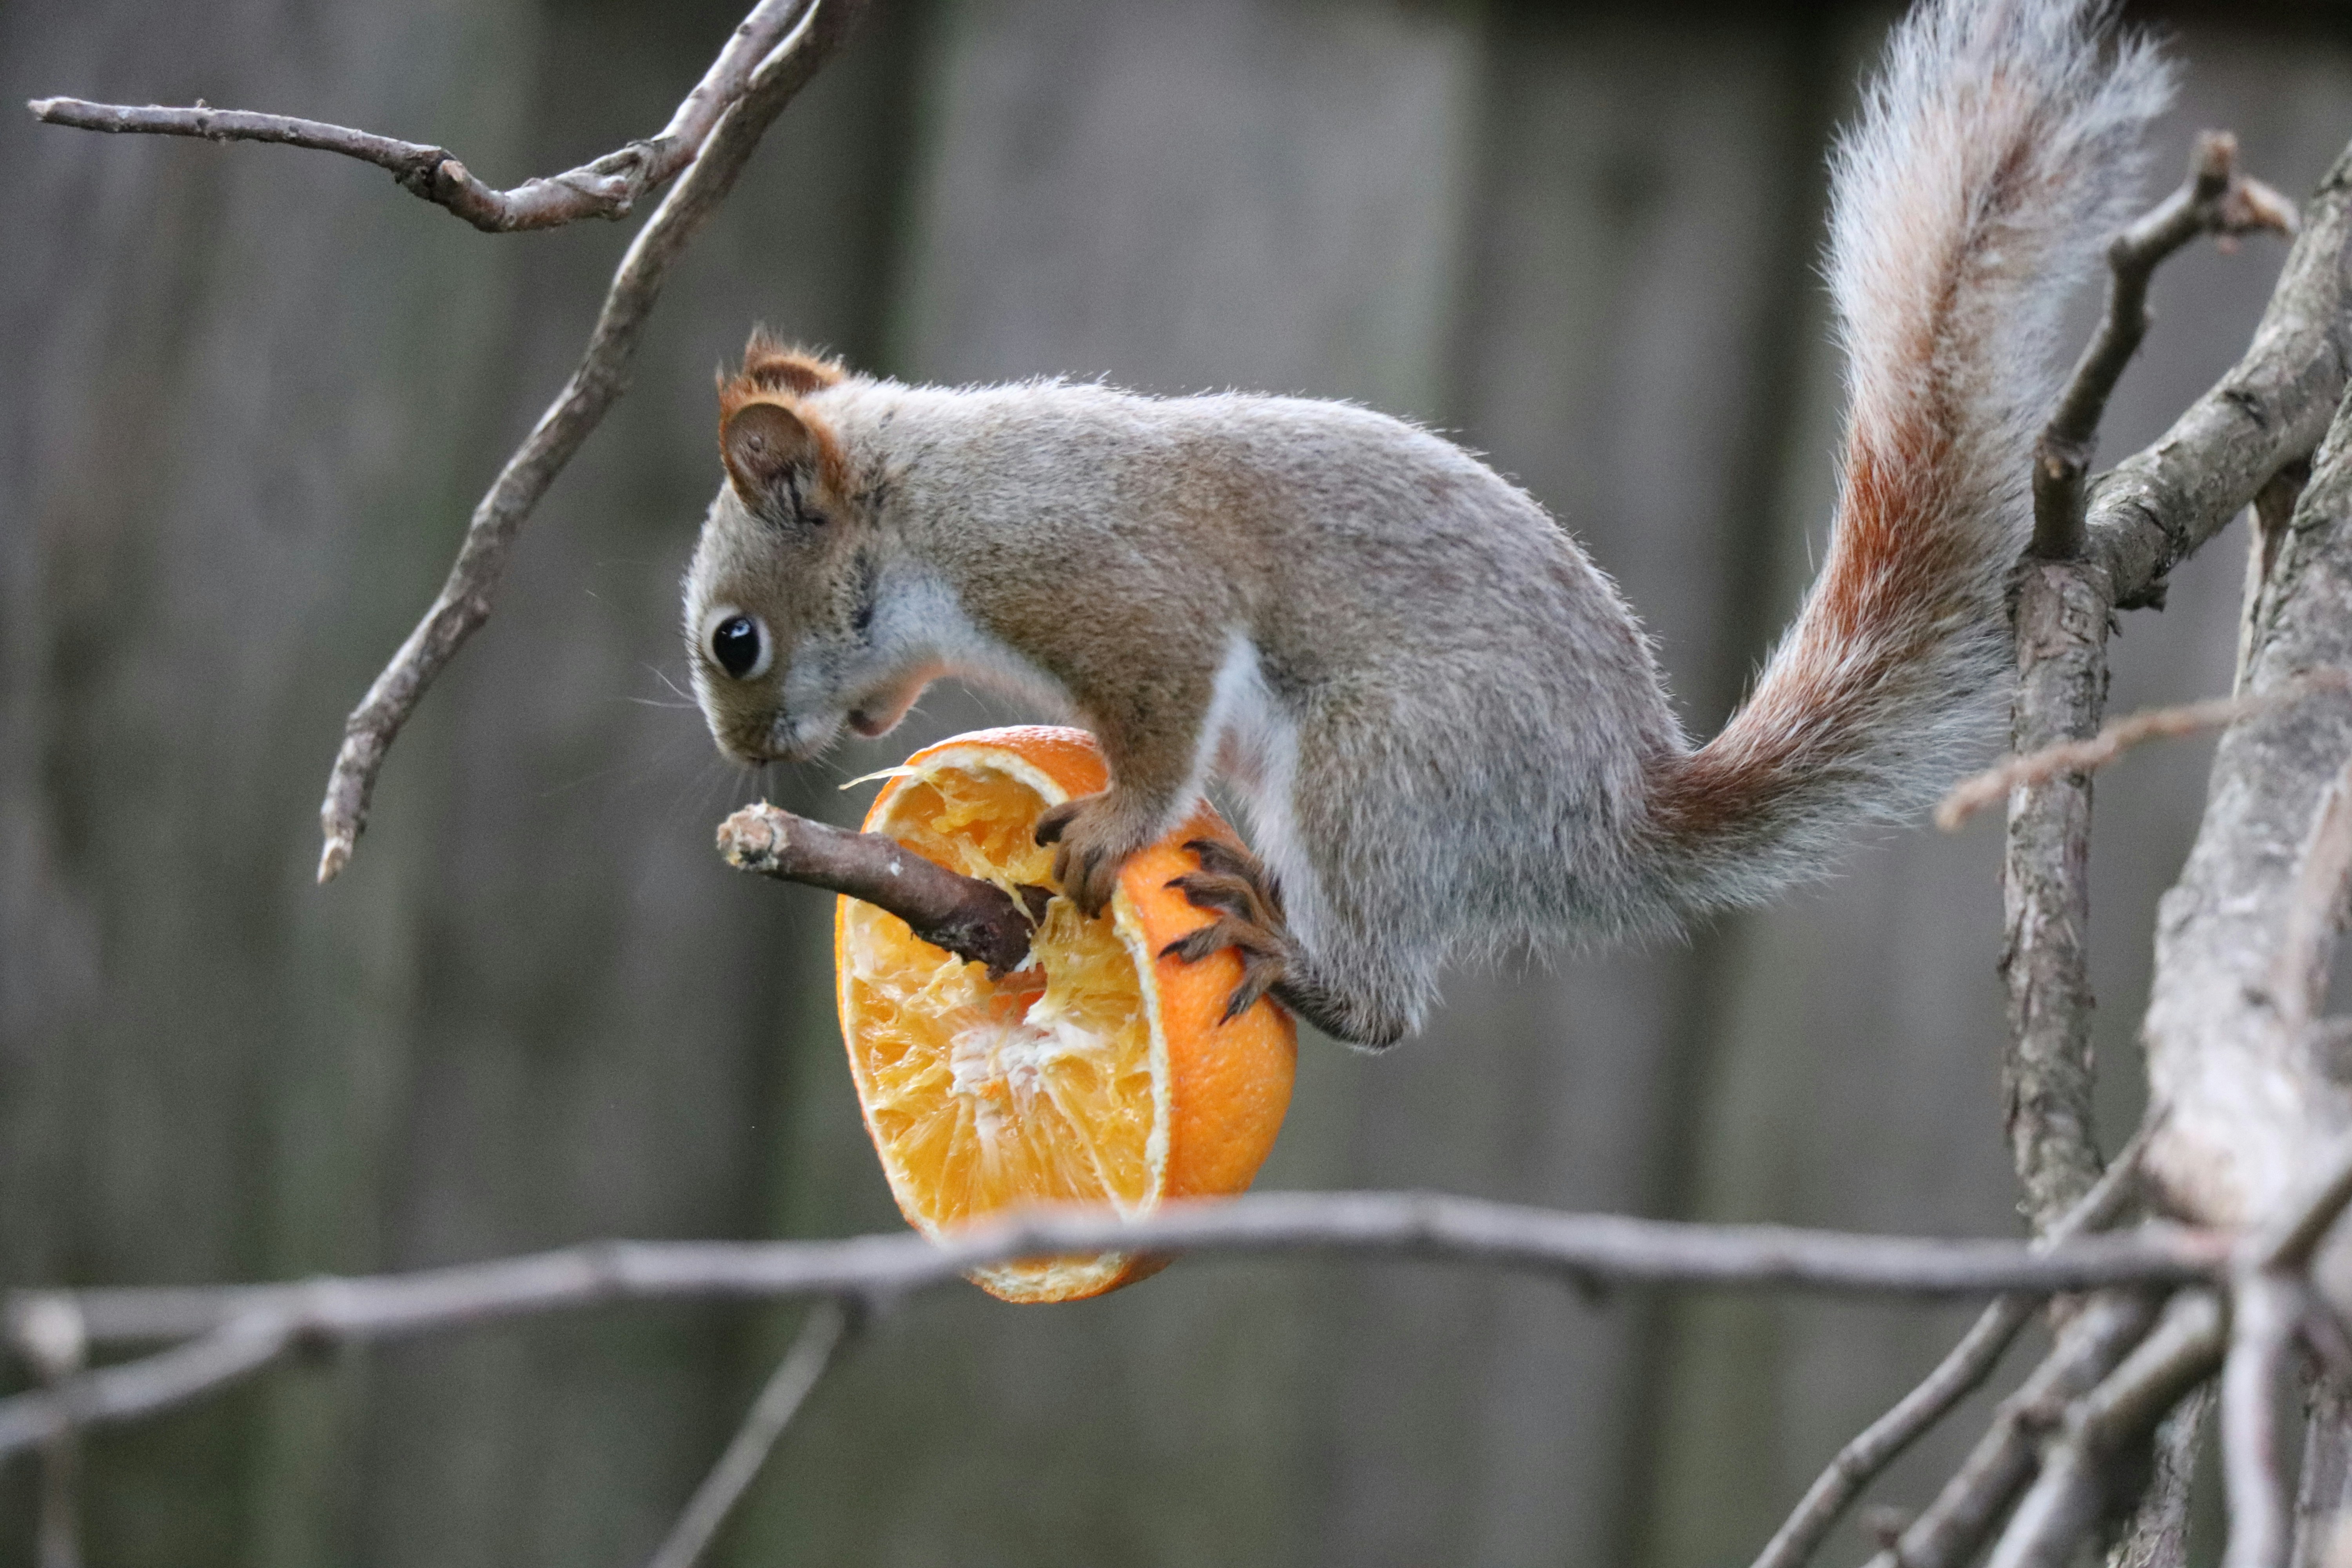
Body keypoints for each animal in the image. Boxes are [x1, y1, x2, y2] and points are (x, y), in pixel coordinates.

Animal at [682, 0, 2169, 1049]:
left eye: (734, 641)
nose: (748, 760)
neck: (930, 502)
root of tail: (1606, 822)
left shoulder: (1097, 571)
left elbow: (1160, 707)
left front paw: (1111, 824)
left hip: (1382, 767)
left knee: (1389, 1004)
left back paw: (1294, 960)